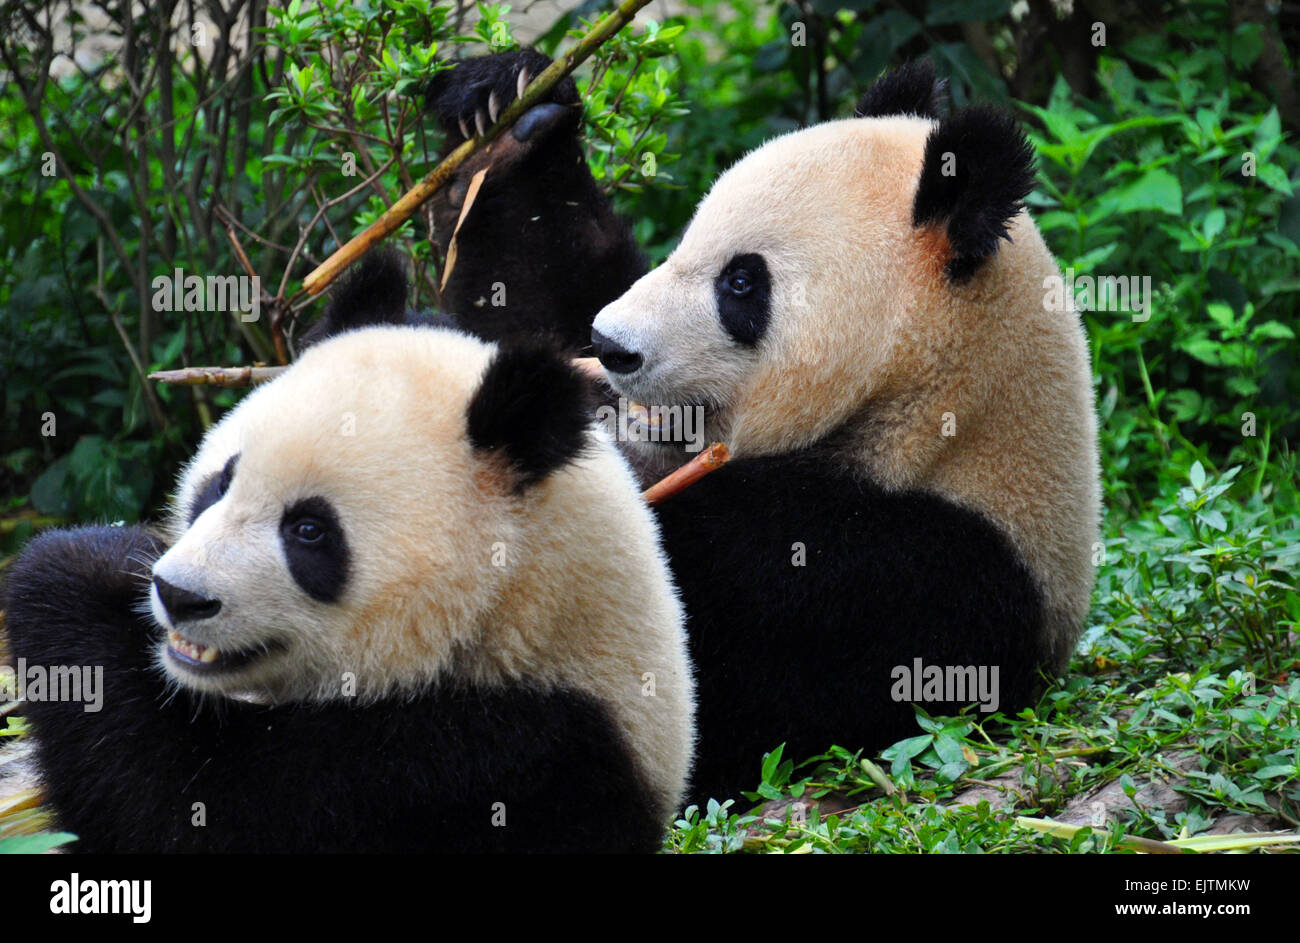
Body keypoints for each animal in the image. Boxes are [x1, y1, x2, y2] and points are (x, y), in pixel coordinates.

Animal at [3, 262, 695, 852]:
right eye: (219, 483)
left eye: (309, 531)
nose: (180, 595)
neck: (522, 610)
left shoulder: (487, 766)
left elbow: (191, 803)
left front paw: (75, 565)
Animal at [312, 57, 1100, 804]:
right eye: (688, 237)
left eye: (741, 283)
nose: (613, 345)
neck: (934, 420)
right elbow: (537, 312)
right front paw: (513, 120)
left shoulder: (892, 581)